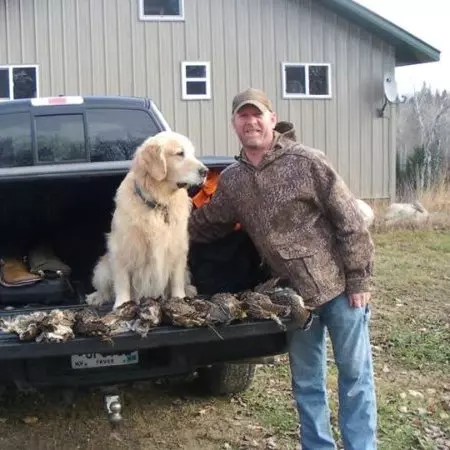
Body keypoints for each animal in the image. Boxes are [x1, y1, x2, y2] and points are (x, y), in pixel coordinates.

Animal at [85, 130, 208, 310]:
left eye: (193, 153)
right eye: (180, 153)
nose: (205, 171)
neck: (158, 203)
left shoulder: (178, 248)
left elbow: (176, 280)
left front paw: (179, 299)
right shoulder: (123, 248)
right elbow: (122, 281)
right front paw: (122, 304)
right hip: (103, 268)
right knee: (105, 287)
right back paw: (97, 297)